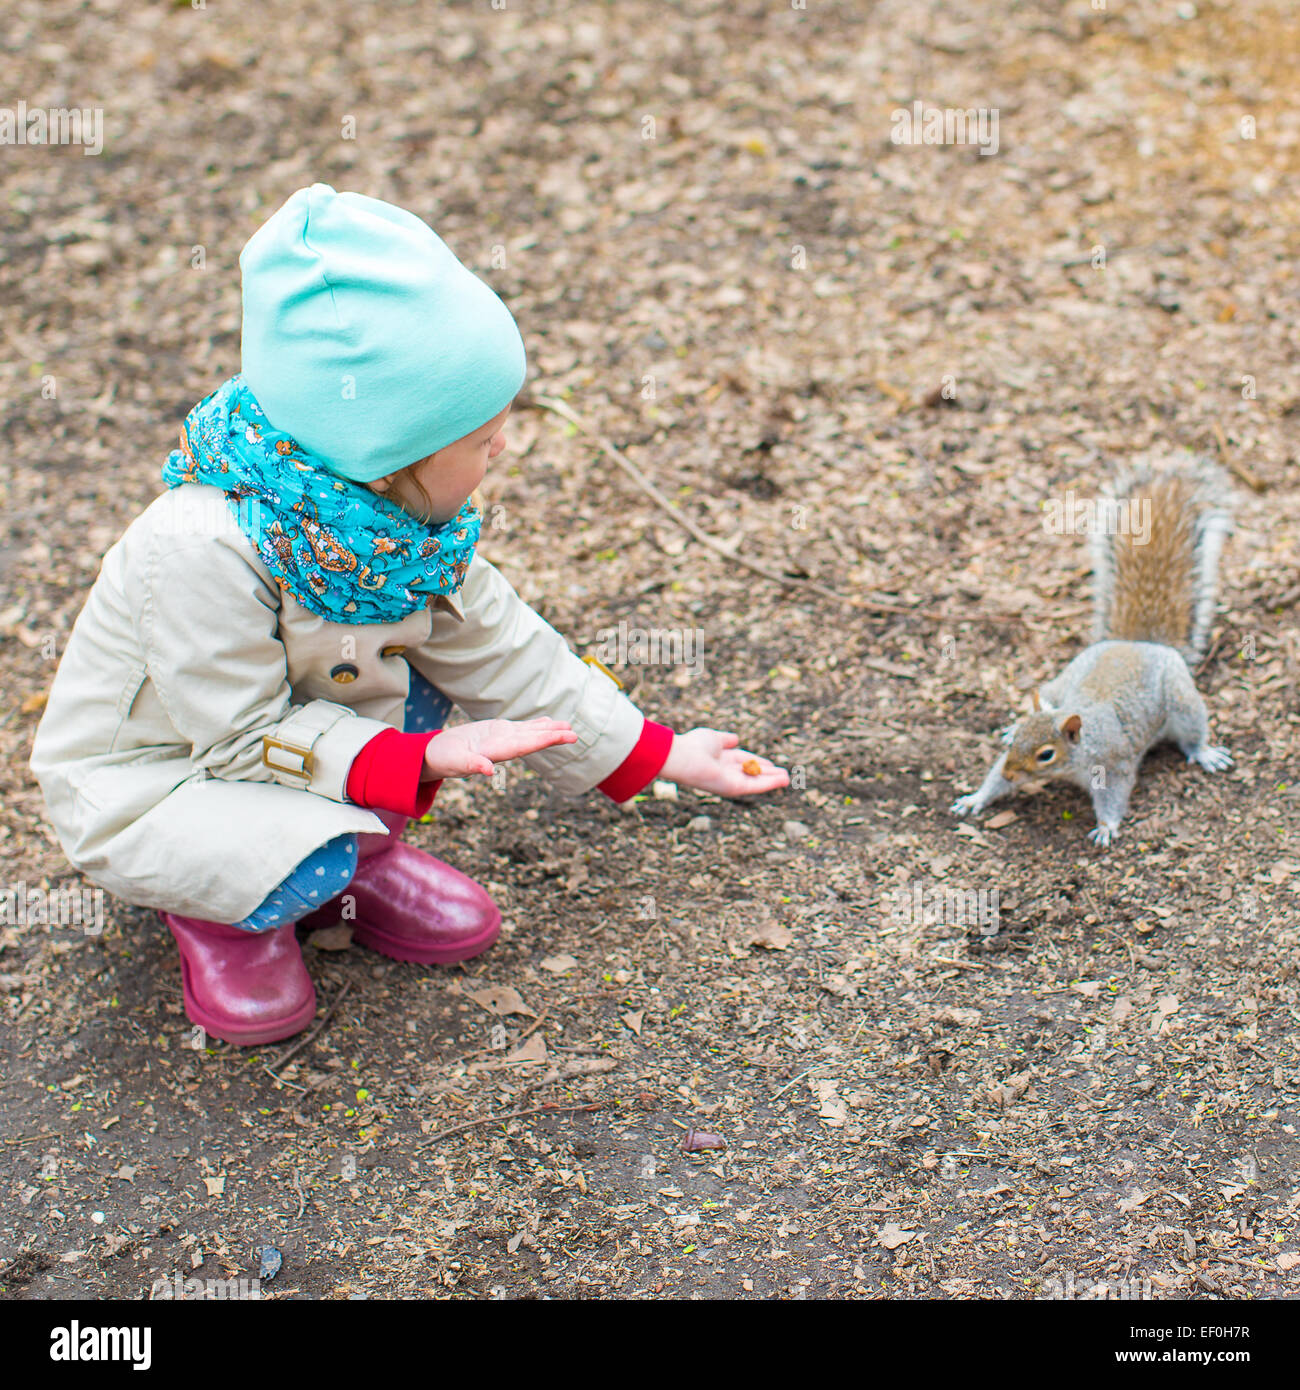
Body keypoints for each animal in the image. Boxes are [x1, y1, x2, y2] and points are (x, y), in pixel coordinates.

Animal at [950, 456, 1235, 847]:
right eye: (1020, 744)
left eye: (1046, 754)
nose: (1010, 775)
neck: (1080, 752)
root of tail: (1139, 642)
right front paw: (977, 796)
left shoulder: (1114, 766)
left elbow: (1115, 797)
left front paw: (1106, 826)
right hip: (1066, 675)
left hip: (1182, 700)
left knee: (1192, 733)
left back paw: (1204, 752)